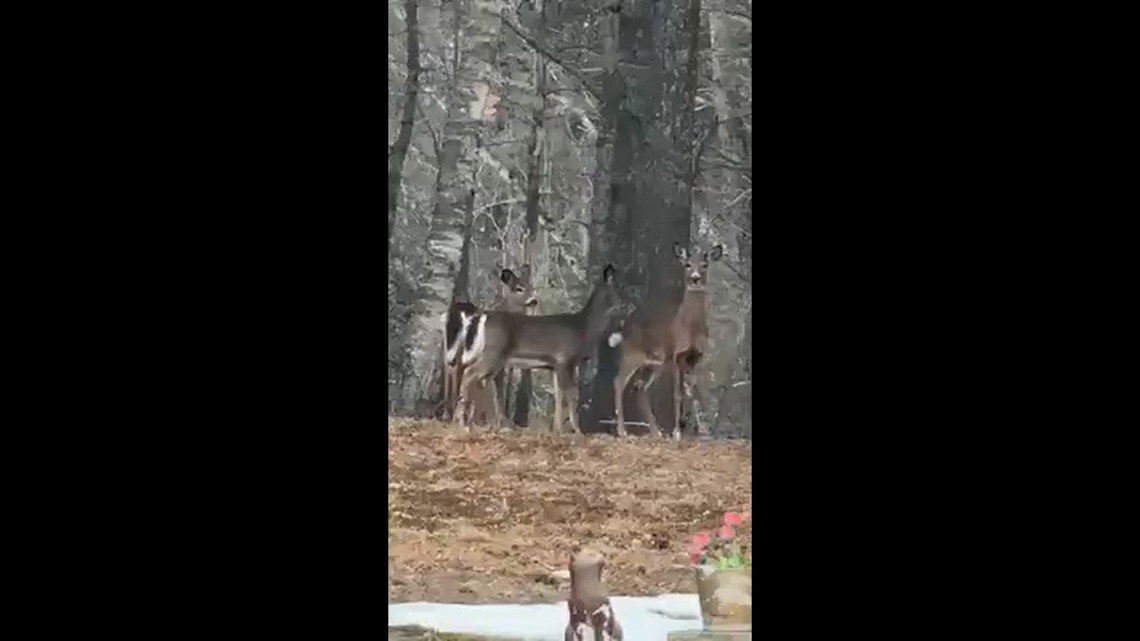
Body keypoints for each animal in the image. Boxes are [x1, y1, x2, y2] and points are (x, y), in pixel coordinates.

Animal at [440, 268, 538, 420]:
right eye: (519, 288)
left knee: (448, 368)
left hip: (449, 345)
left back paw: (449, 413)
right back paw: (457, 414)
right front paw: (500, 418)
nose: (534, 301)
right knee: (458, 371)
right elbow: (498, 387)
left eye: (531, 287)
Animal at [456, 264, 626, 434]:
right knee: (469, 373)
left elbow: (558, 395)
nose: (624, 306)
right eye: (616, 290)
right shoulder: (565, 359)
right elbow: (571, 395)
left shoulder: (555, 365)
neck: (583, 328)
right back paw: (464, 422)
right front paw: (577, 430)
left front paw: (557, 429)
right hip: (493, 353)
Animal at [610, 242, 723, 440]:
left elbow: (695, 392)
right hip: (632, 352)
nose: (695, 278)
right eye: (687, 264)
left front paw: (701, 431)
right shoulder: (675, 355)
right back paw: (623, 431)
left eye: (705, 264)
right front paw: (677, 432)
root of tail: (626, 322)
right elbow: (677, 394)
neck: (690, 328)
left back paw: (656, 432)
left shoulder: (696, 357)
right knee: (619, 382)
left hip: (655, 363)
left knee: (640, 388)